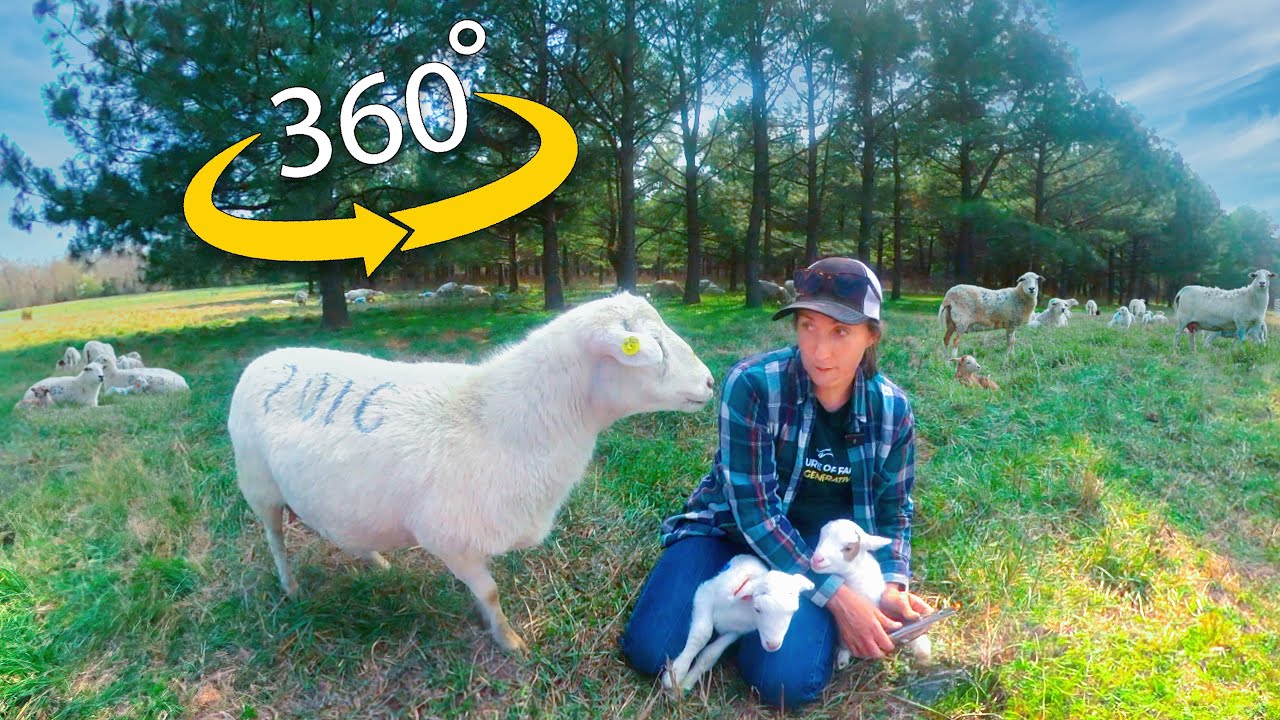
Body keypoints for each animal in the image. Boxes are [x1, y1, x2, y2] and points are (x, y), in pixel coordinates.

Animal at [226, 292, 715, 652]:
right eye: (652, 347)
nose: (711, 382)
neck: (501, 422)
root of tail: (264, 359)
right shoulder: (450, 540)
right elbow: (490, 592)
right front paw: (508, 640)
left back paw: (376, 561)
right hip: (258, 484)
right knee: (275, 539)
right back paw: (291, 588)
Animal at [662, 555, 814, 694]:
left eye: (794, 611)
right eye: (758, 609)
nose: (773, 645)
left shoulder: (737, 631)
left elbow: (711, 654)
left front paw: (683, 686)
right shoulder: (705, 595)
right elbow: (701, 634)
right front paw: (676, 673)